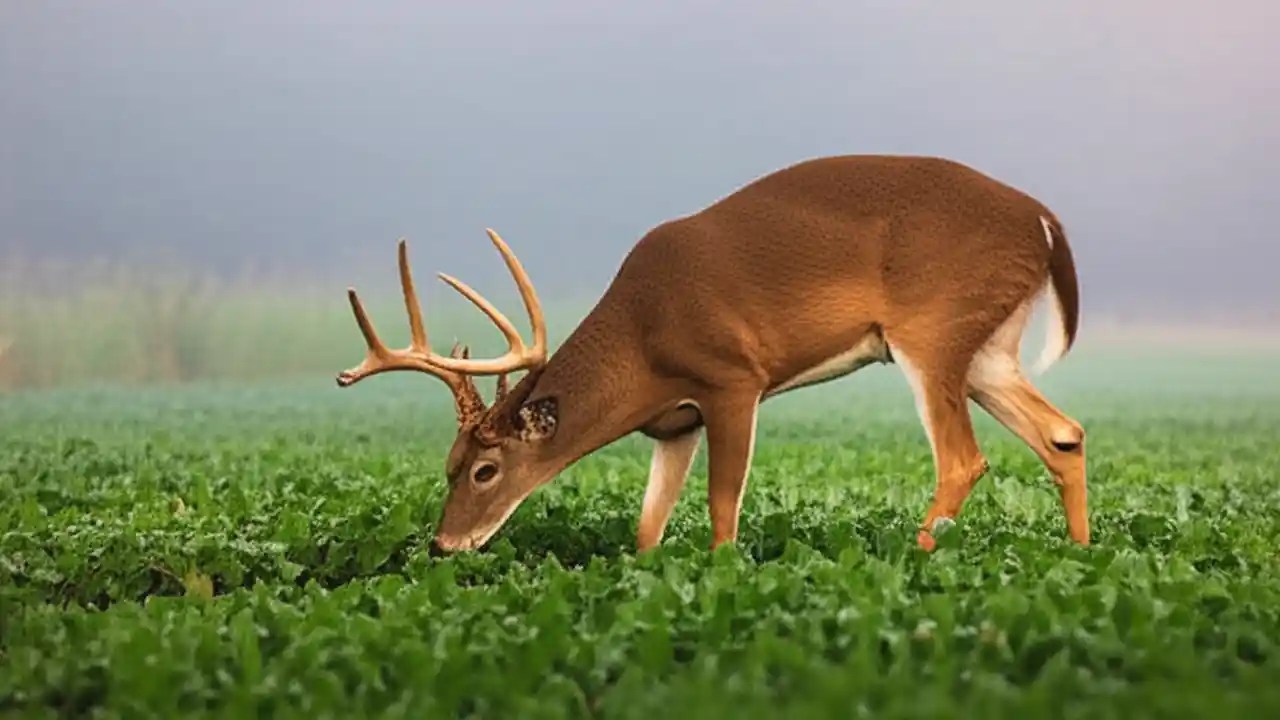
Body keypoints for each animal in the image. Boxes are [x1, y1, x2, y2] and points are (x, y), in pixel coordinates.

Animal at [336, 154, 1087, 555]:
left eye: (485, 470)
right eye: (448, 464)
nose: (443, 545)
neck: (642, 339)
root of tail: (1047, 222)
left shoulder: (732, 378)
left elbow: (723, 504)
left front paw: (722, 573)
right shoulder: (675, 422)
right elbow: (648, 525)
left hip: (933, 331)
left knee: (963, 457)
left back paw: (917, 556)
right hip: (988, 348)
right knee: (1063, 433)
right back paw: (1082, 551)